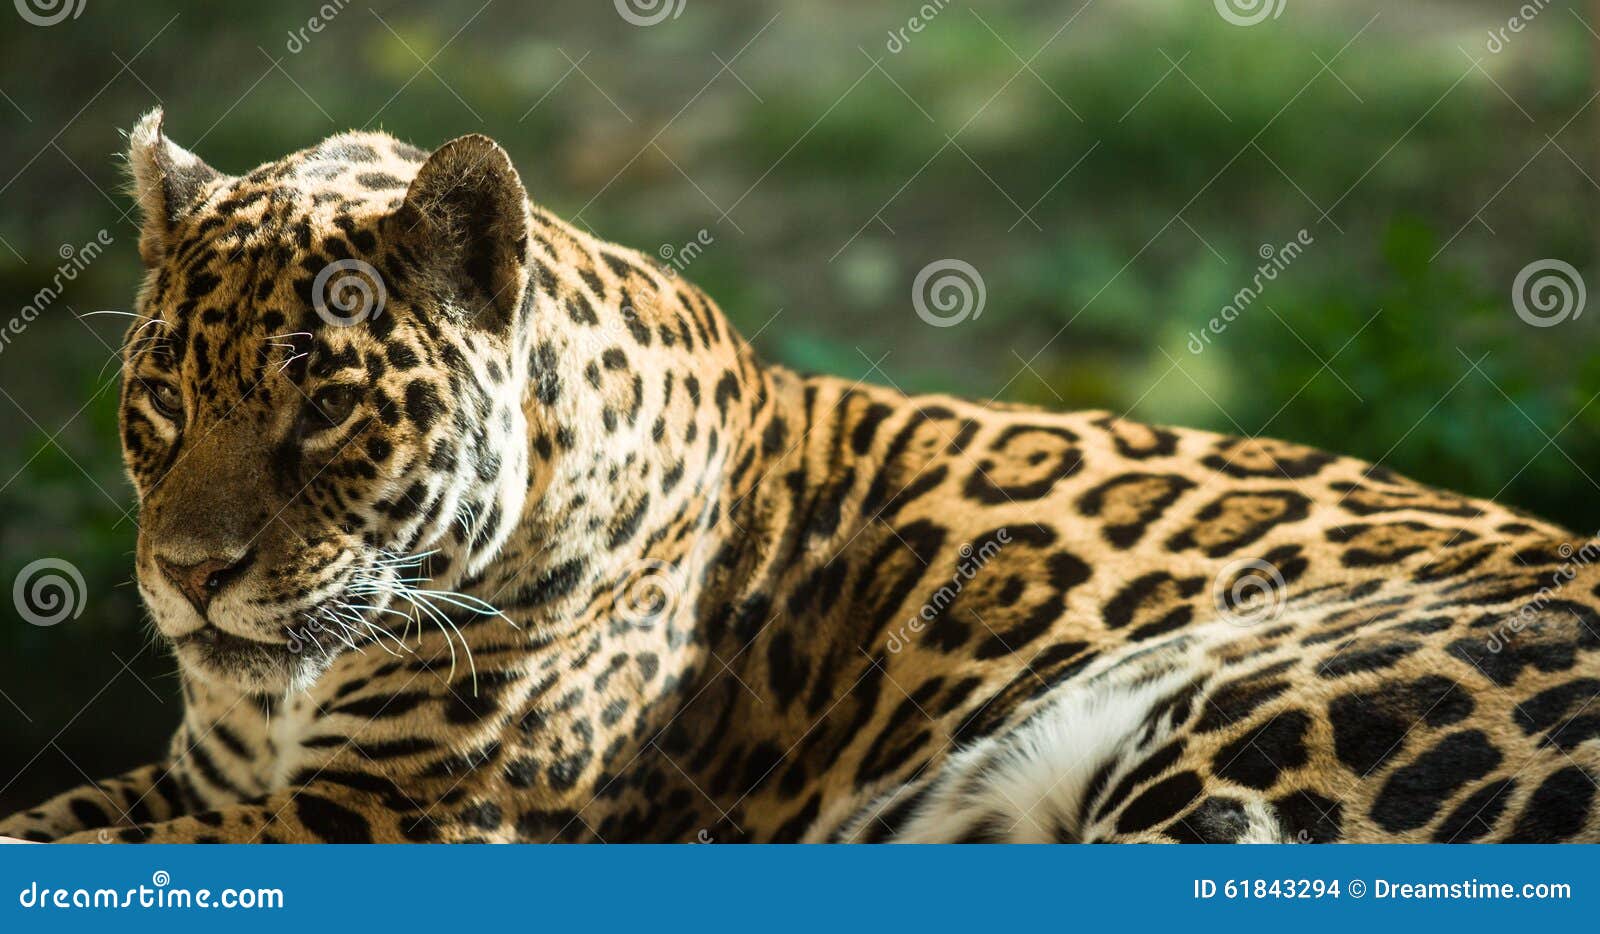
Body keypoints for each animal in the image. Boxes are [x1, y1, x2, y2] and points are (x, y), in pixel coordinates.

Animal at [3, 108, 1598, 843]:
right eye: (160, 400)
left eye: (328, 409)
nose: (188, 576)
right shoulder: (203, 779)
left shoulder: (392, 820)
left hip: (1232, 732)